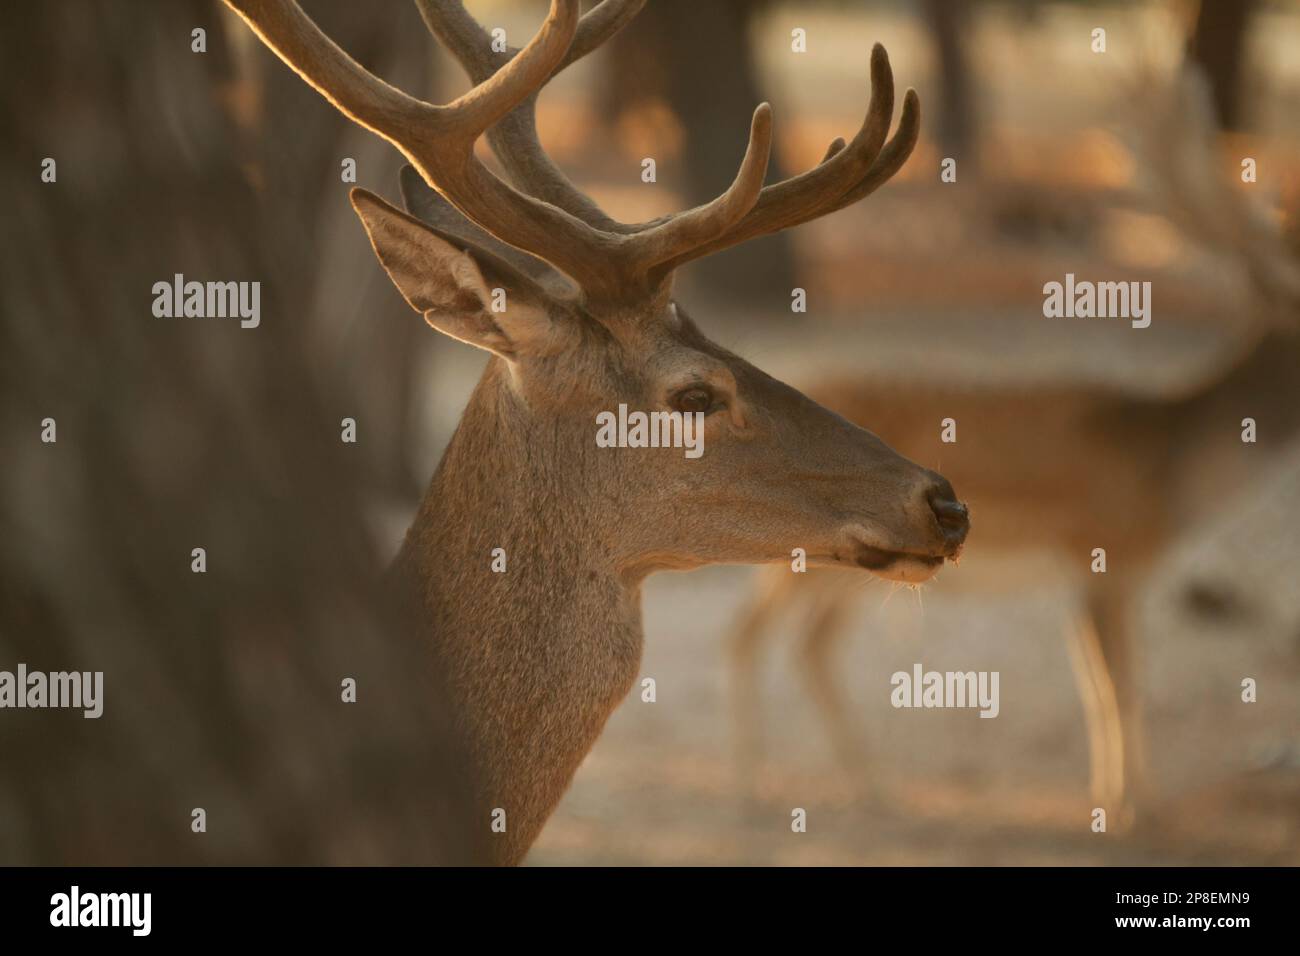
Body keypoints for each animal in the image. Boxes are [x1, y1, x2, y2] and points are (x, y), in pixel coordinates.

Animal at [726, 68, 1300, 831]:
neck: (1172, 471)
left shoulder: (1115, 576)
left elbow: (1109, 683)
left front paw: (1117, 799)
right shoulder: (1099, 555)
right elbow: (1117, 687)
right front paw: (1131, 809)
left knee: (807, 643)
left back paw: (871, 788)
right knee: (751, 631)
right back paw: (756, 786)